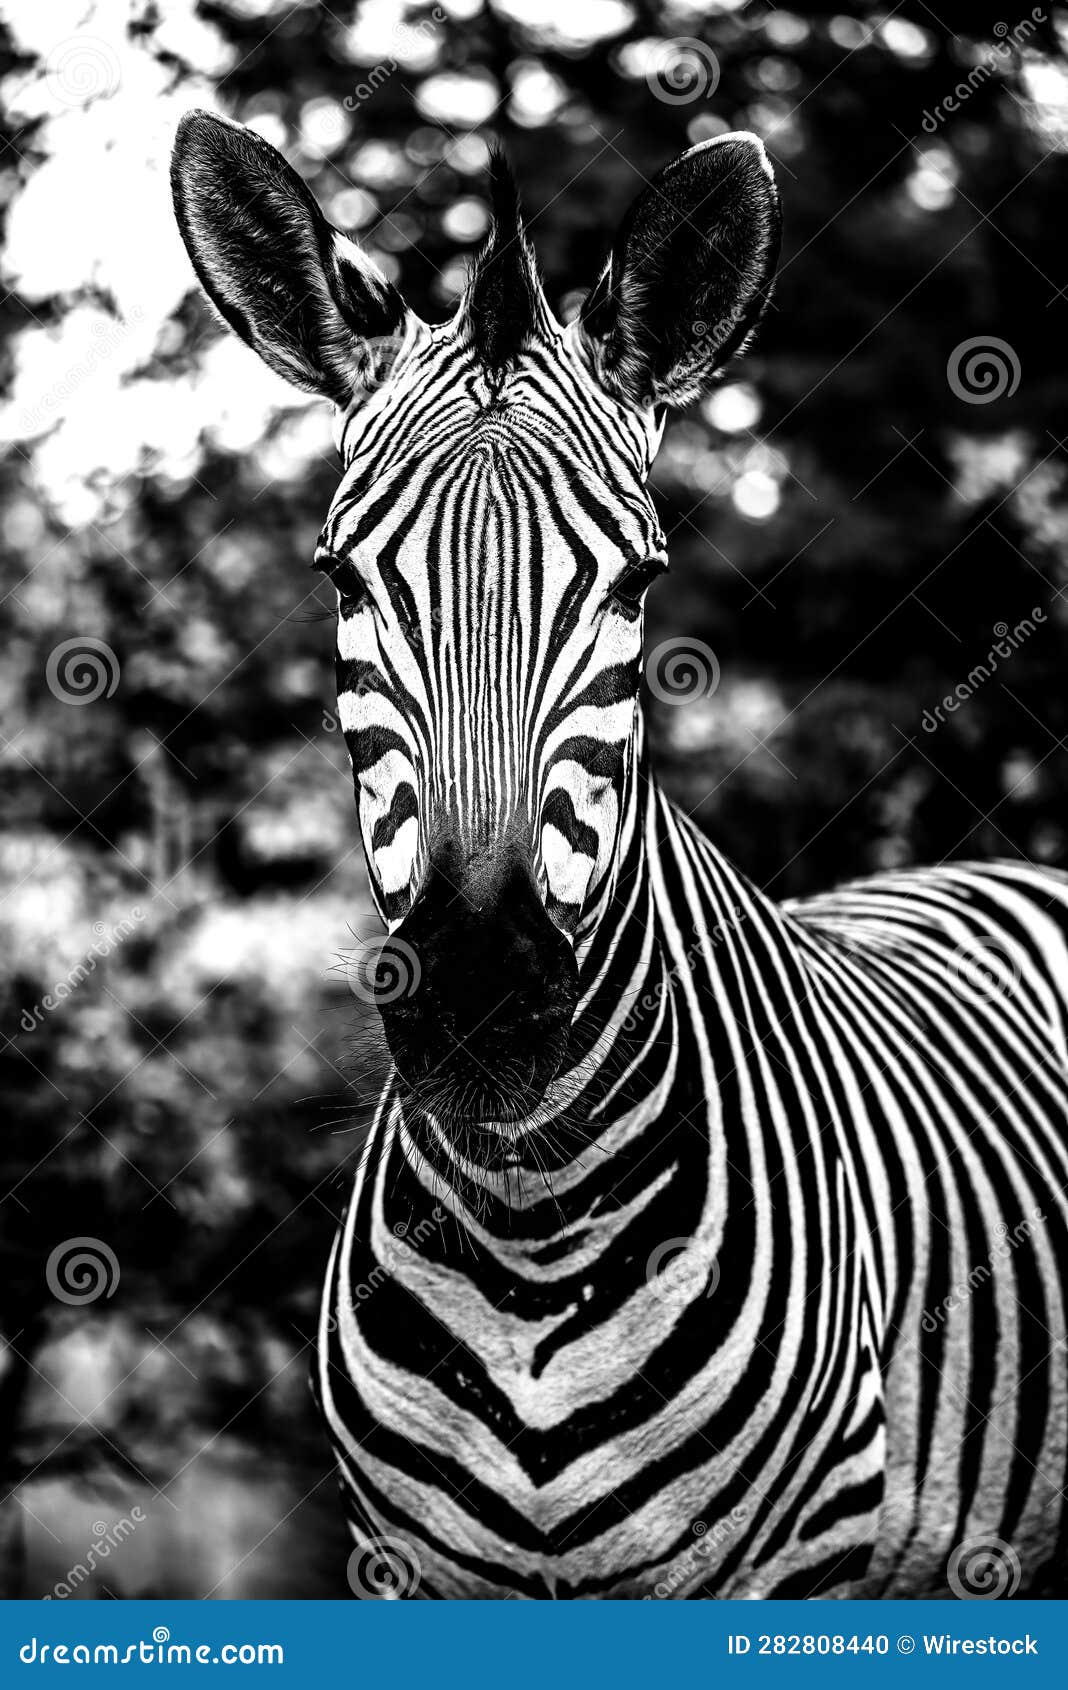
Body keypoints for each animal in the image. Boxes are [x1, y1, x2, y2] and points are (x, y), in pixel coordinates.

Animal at [171, 111, 1068, 1600]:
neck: (533, 1220)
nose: (480, 1004)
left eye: (638, 581)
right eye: (339, 577)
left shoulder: (797, 1565)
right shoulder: (402, 1567)